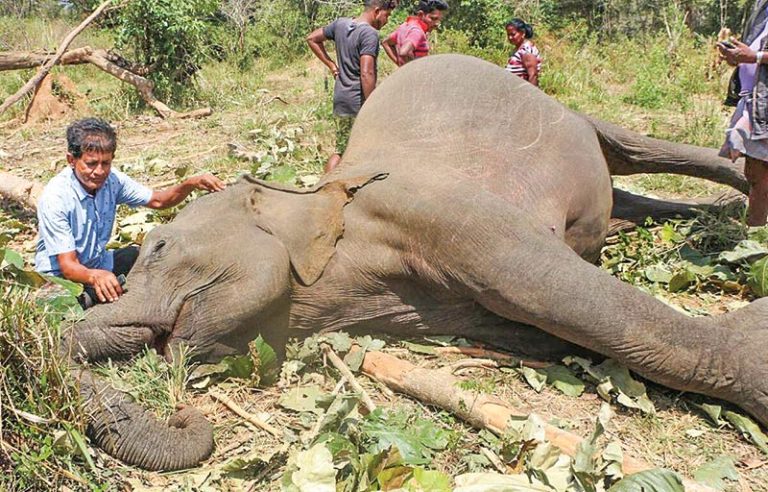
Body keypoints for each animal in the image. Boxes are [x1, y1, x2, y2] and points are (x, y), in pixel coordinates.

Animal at [64, 54, 764, 471]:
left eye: (158, 248)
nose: (181, 408)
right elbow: (539, 329)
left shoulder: (425, 205)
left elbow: (547, 286)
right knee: (622, 194)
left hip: (558, 107)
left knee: (633, 148)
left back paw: (740, 199)